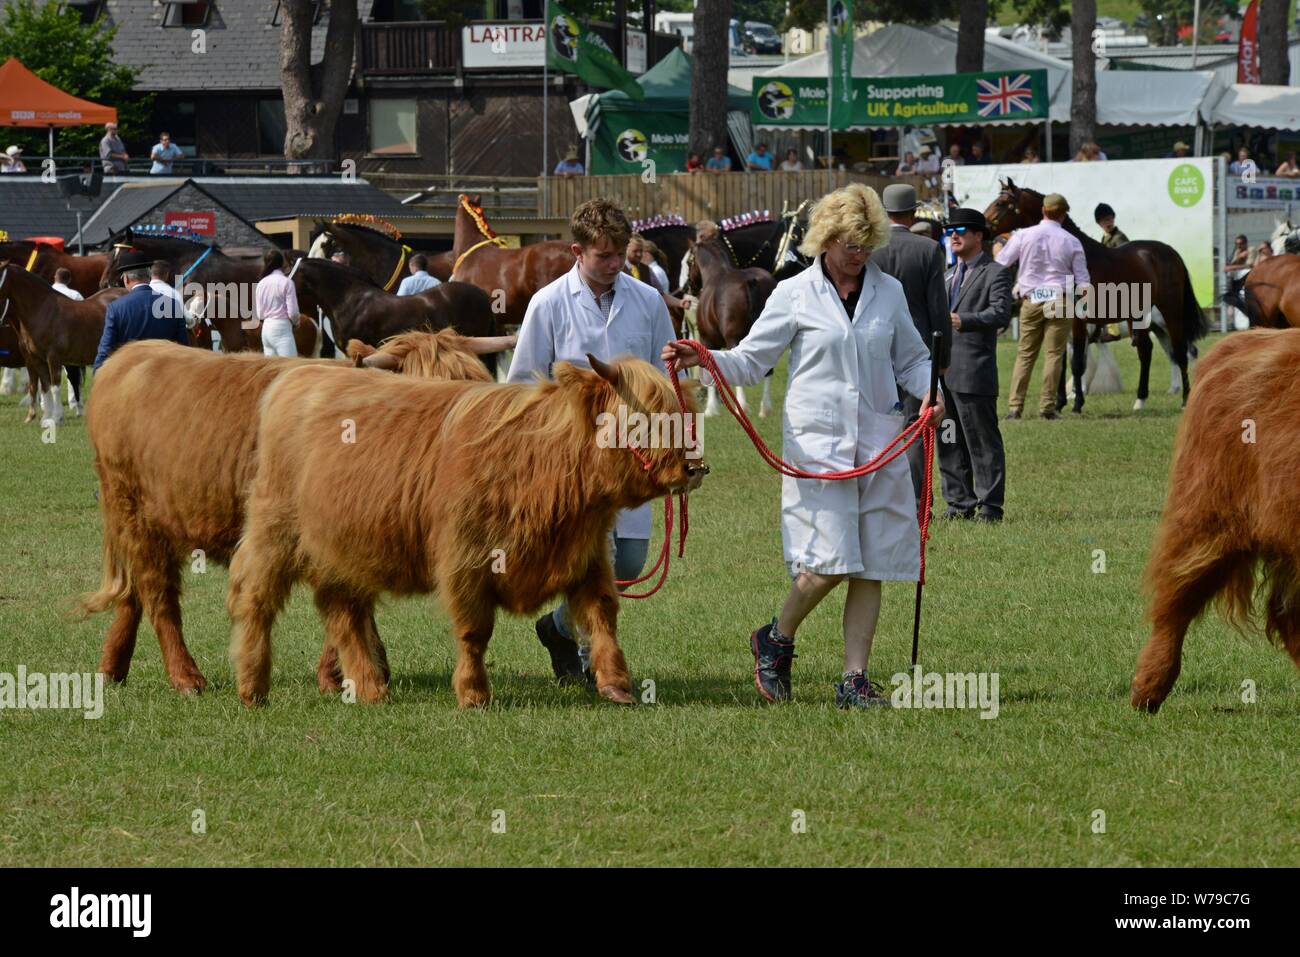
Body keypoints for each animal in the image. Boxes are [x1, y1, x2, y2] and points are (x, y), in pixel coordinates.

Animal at [79, 330, 515, 694]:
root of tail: (130, 354)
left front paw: (353, 670)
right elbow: (346, 607)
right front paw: (343, 675)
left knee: (134, 593)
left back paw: (112, 667)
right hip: (135, 515)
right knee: (159, 595)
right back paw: (186, 677)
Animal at [227, 355, 707, 708]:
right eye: (642, 420)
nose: (695, 468)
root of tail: (300, 374)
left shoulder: (588, 557)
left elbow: (602, 615)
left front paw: (617, 684)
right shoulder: (466, 560)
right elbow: (474, 632)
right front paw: (474, 694)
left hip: (341, 554)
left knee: (343, 615)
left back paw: (371, 690)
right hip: (273, 533)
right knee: (255, 603)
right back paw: (252, 687)